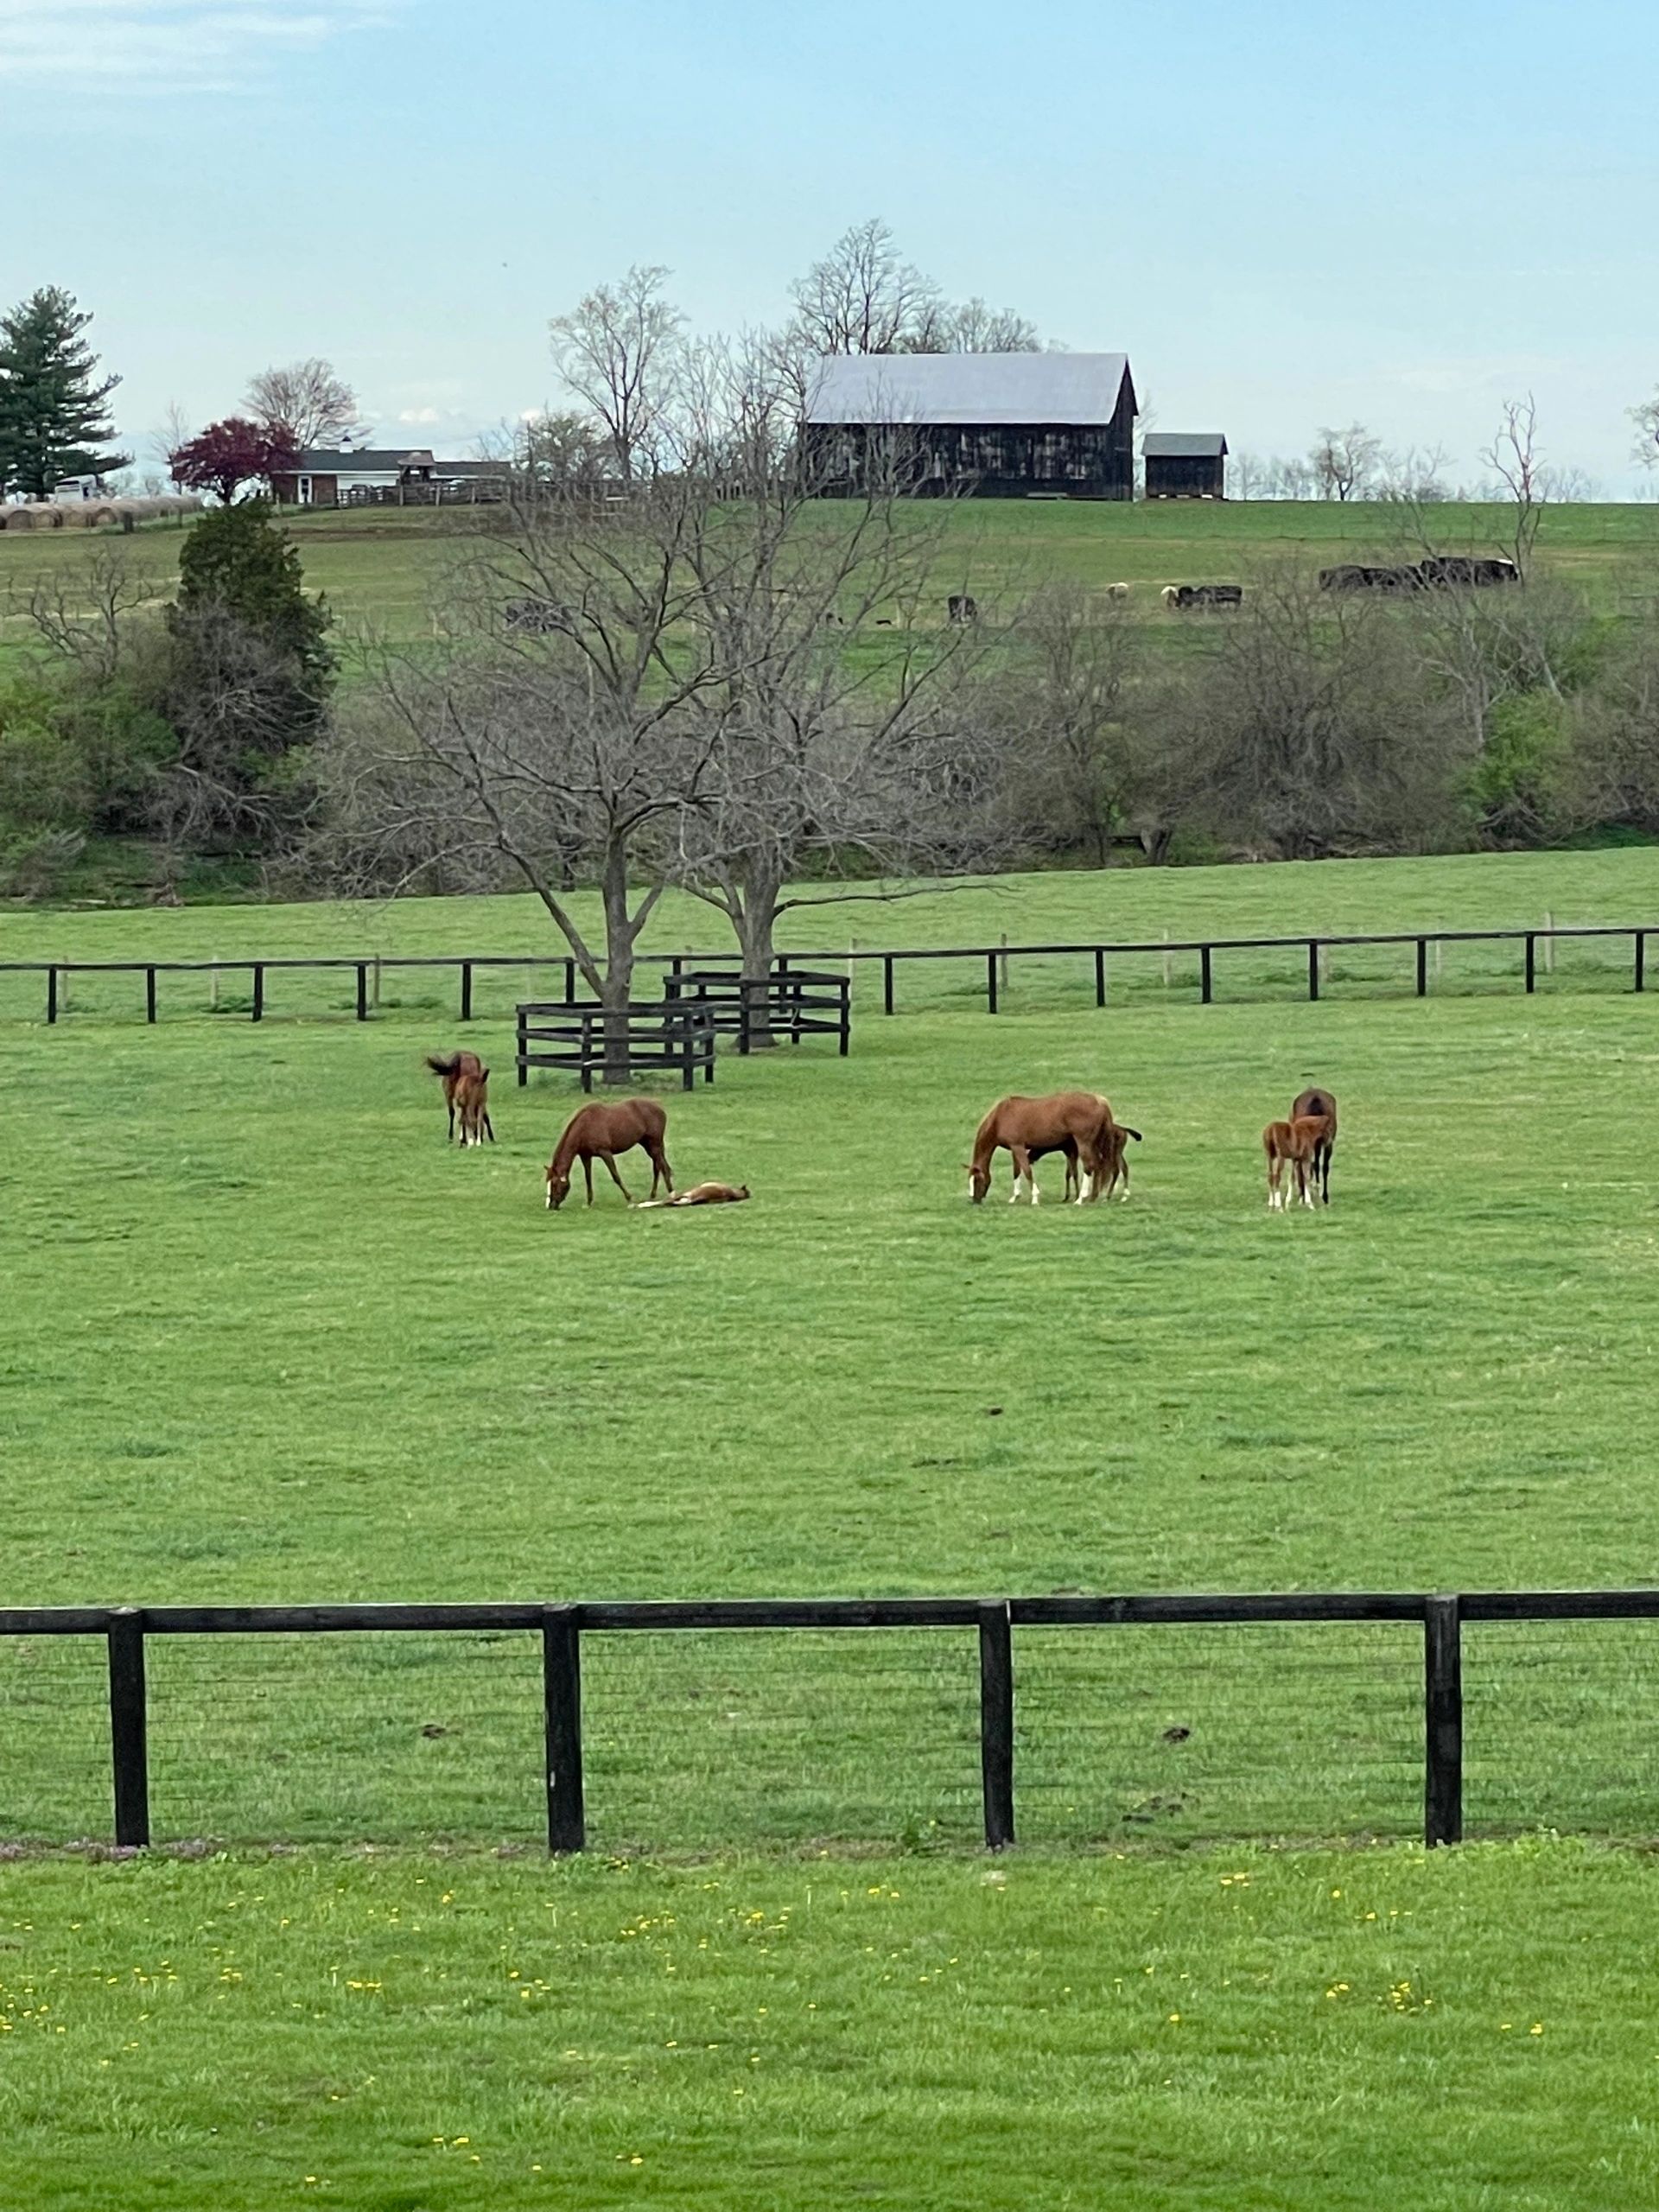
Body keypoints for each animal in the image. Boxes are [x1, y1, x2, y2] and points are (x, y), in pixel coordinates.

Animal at [545, 1099, 672, 1209]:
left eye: (554, 1184)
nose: (551, 1206)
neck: (585, 1126)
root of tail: (659, 1108)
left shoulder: (605, 1153)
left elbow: (616, 1176)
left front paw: (629, 1200)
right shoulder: (585, 1156)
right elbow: (588, 1178)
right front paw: (588, 1202)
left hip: (654, 1145)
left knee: (662, 1167)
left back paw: (671, 1194)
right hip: (648, 1145)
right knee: (658, 1167)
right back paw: (653, 1196)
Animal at [968, 1092, 1116, 1206]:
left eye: (976, 1180)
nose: (975, 1201)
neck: (1000, 1118)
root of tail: (1100, 1102)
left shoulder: (1018, 1147)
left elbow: (1027, 1171)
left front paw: (1034, 1198)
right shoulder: (1014, 1148)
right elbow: (1016, 1171)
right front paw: (1015, 1197)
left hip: (1084, 1143)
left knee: (1089, 1166)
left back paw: (1080, 1199)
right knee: (1098, 1165)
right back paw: (1093, 1197)